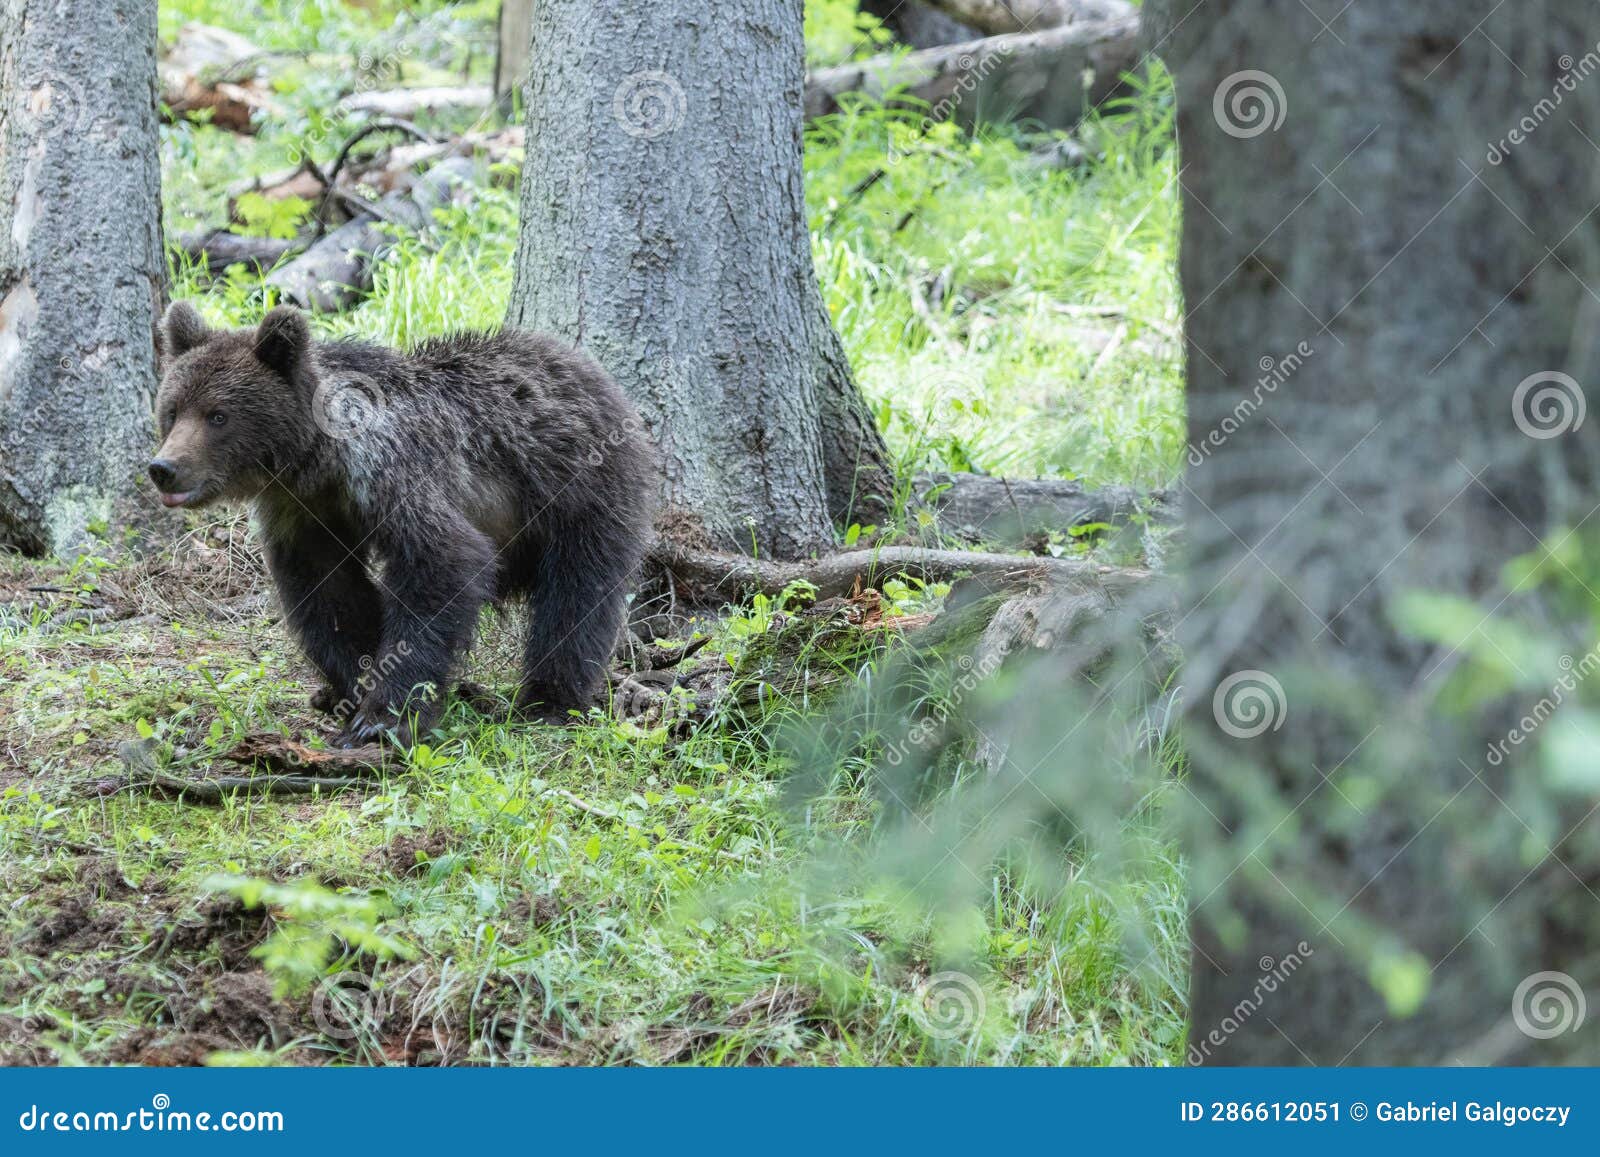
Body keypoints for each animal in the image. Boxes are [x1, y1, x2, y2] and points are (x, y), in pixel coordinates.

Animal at [149, 302, 657, 746]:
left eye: (218, 415)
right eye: (171, 410)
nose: (164, 468)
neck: (318, 462)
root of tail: (592, 371)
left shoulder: (394, 470)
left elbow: (442, 563)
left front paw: (383, 718)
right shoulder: (305, 512)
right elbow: (329, 595)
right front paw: (352, 688)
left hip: (578, 491)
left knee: (577, 596)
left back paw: (549, 699)